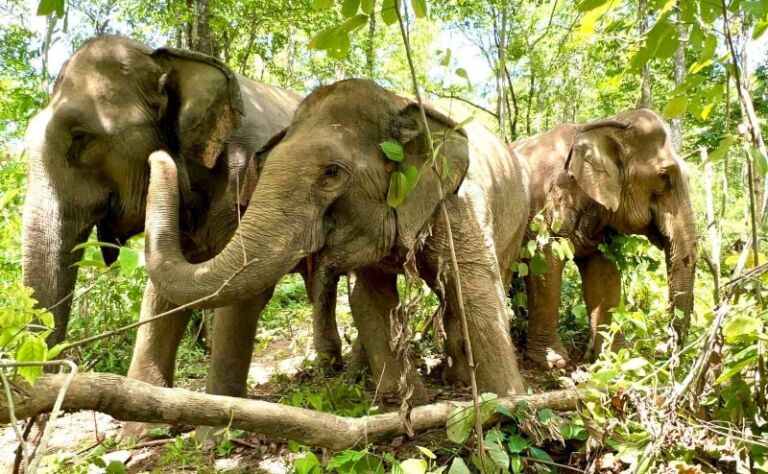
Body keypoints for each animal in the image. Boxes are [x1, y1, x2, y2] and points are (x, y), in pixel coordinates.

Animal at [21, 35, 303, 421]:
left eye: (80, 138)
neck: (167, 59)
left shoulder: (248, 179)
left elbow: (243, 288)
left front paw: (217, 427)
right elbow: (162, 293)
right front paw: (140, 427)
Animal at [142, 78, 530, 398]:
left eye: (330, 173)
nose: (158, 154)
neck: (397, 99)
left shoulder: (460, 204)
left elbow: (475, 288)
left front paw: (508, 405)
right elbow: (368, 298)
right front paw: (407, 404)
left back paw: (461, 381)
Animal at [511, 109, 697, 368]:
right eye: (664, 177)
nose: (662, 350)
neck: (596, 127)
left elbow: (604, 275)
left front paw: (616, 357)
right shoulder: (543, 211)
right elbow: (545, 266)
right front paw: (553, 362)